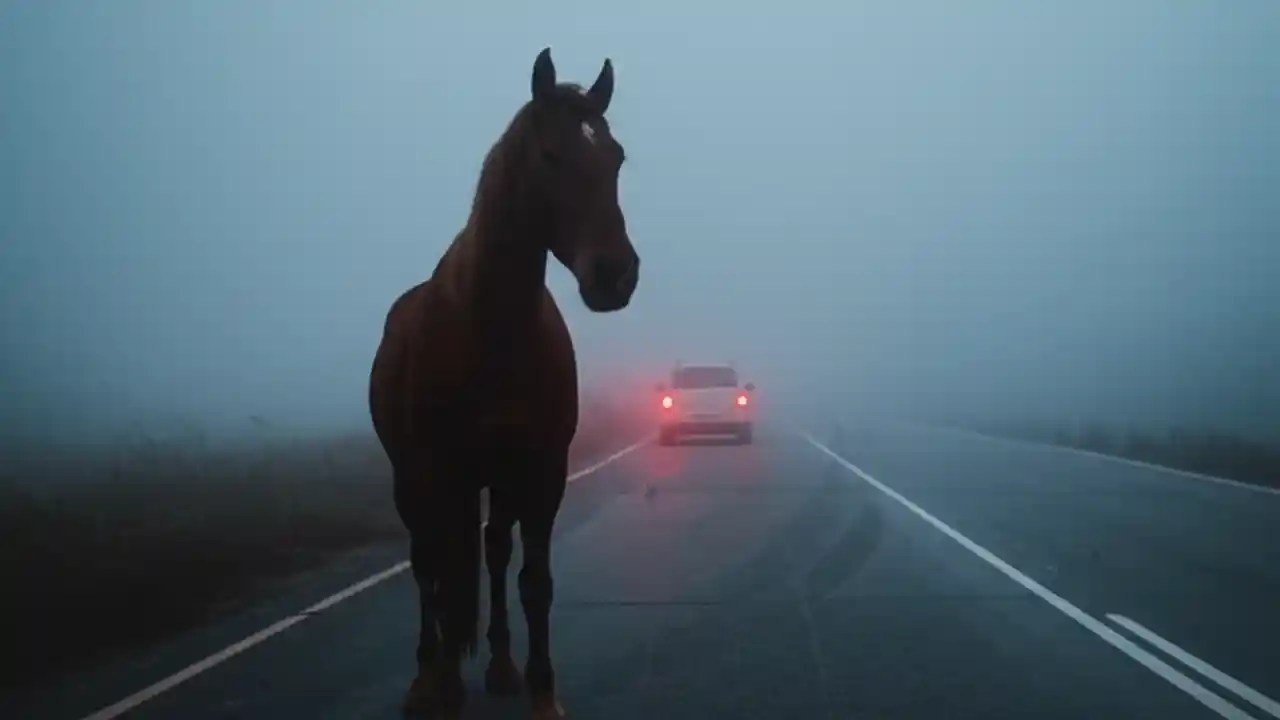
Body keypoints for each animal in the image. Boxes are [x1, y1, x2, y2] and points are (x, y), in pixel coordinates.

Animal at [368, 47, 638, 720]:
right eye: (549, 155)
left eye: (617, 157)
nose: (615, 274)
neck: (490, 330)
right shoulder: (438, 471)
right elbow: (441, 571)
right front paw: (440, 686)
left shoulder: (542, 470)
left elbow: (533, 582)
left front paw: (541, 690)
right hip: (413, 479)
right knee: (426, 562)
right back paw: (427, 673)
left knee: (490, 551)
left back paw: (499, 664)